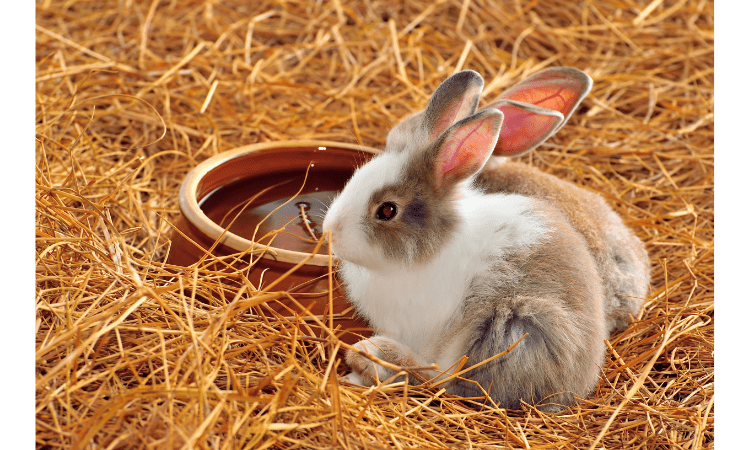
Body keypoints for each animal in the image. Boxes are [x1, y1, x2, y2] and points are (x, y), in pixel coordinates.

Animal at [321, 68, 649, 411]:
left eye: (387, 210)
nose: (330, 233)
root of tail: (579, 385)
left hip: (511, 325)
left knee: (449, 382)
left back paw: (373, 357)